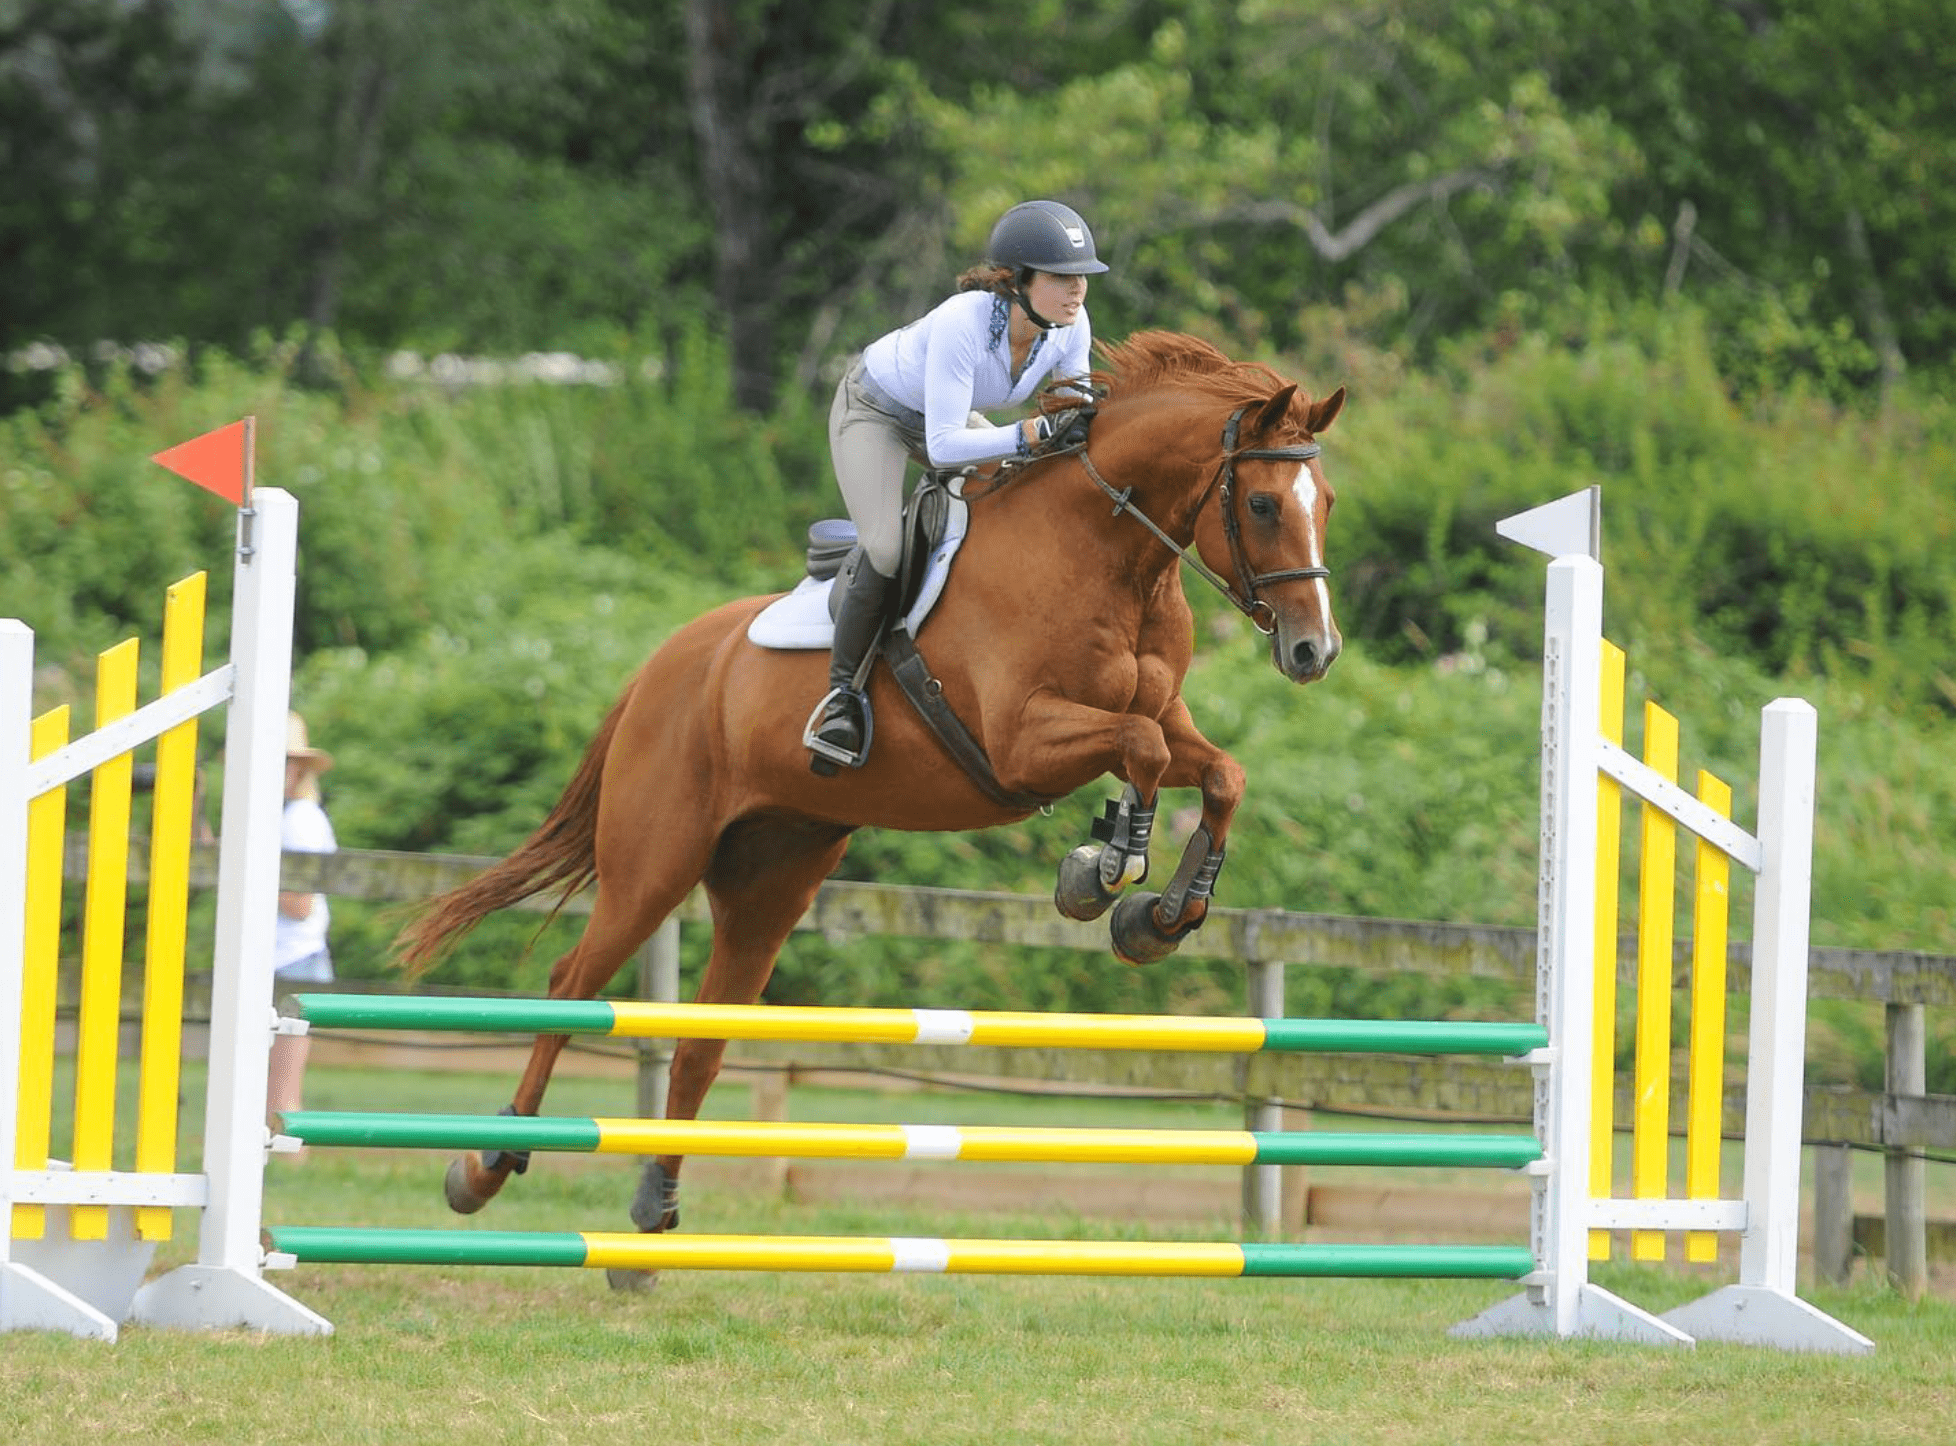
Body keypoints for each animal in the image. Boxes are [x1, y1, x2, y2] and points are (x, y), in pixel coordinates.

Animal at [394, 329, 1347, 1269]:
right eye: (1264, 505)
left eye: (1326, 500)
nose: (1315, 652)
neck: (1109, 558)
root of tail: (667, 662)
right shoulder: (1022, 741)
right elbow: (1140, 751)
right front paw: (1100, 872)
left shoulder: (1162, 721)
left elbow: (1216, 772)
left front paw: (1163, 915)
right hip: (653, 864)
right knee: (571, 984)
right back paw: (486, 1165)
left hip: (772, 879)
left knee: (704, 1033)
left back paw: (653, 1208)